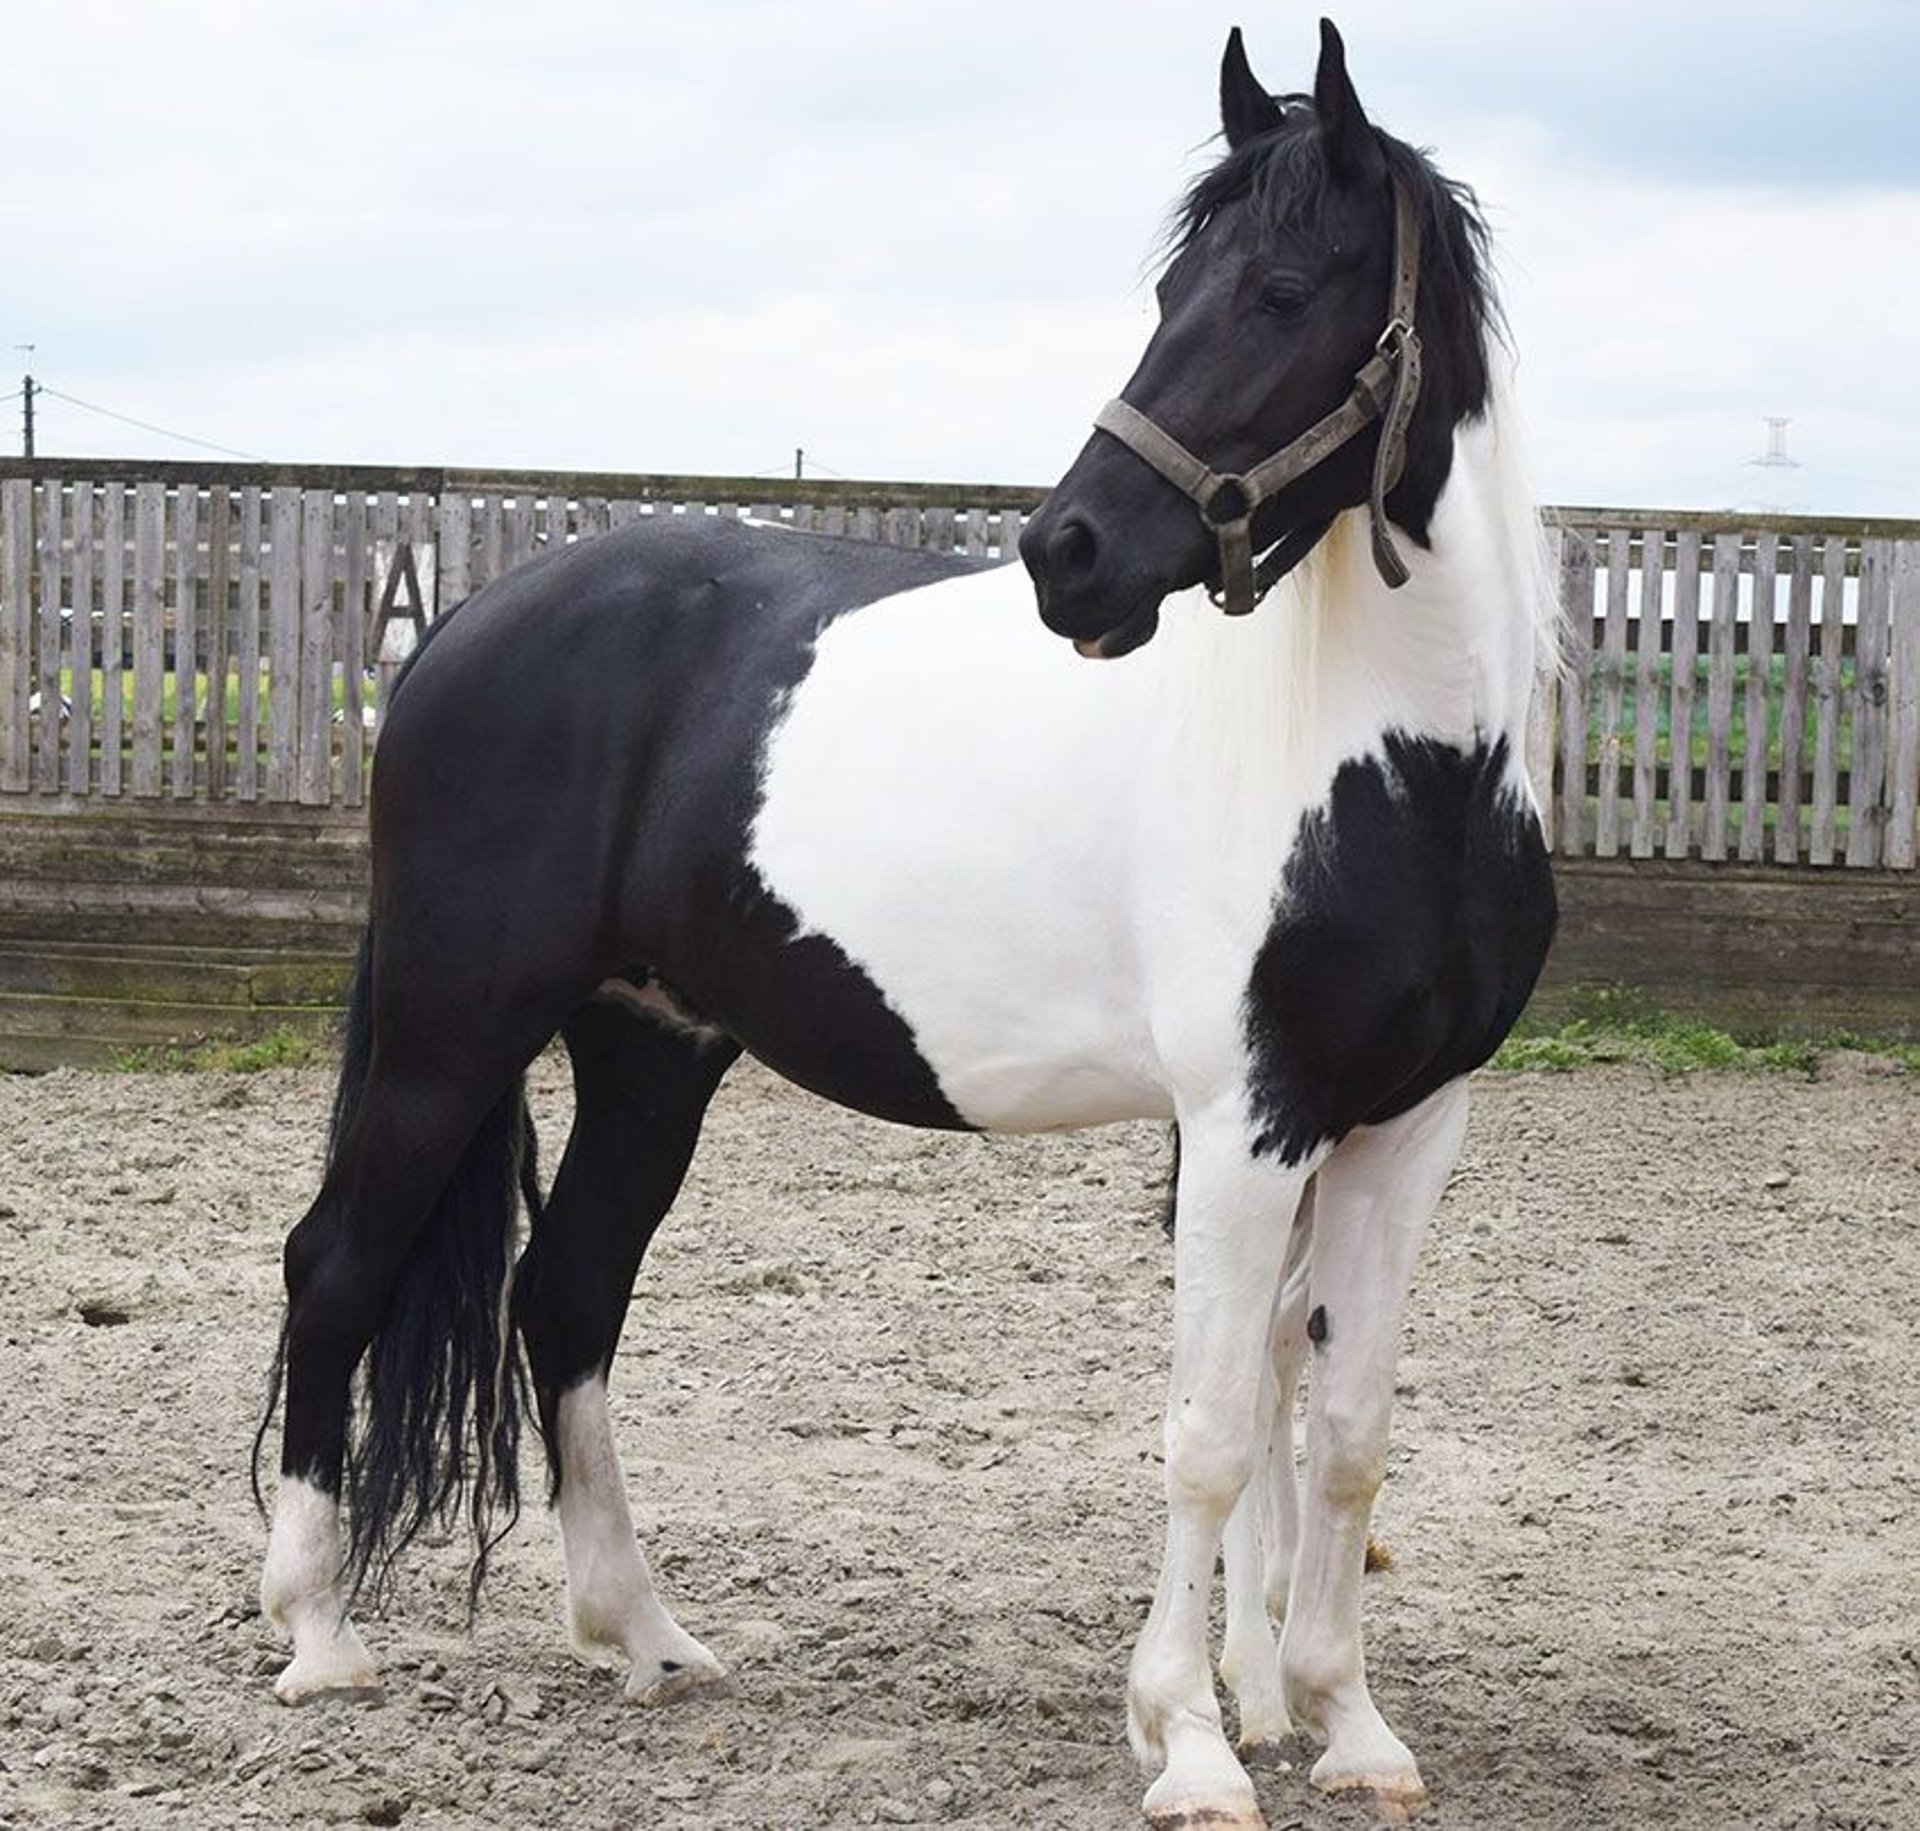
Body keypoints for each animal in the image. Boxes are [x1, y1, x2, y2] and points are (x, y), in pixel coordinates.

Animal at [257, 19, 1556, 1828]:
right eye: (1177, 287)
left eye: (1285, 290)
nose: (1069, 555)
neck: (1387, 766)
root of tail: (456, 630)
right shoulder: (1249, 1118)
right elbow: (1216, 1430)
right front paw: (1193, 1740)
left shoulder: (1407, 1124)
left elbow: (1346, 1427)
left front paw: (1348, 1727)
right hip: (457, 1032)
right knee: (339, 1265)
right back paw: (318, 1634)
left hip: (650, 1048)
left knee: (566, 1292)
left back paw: (646, 1636)